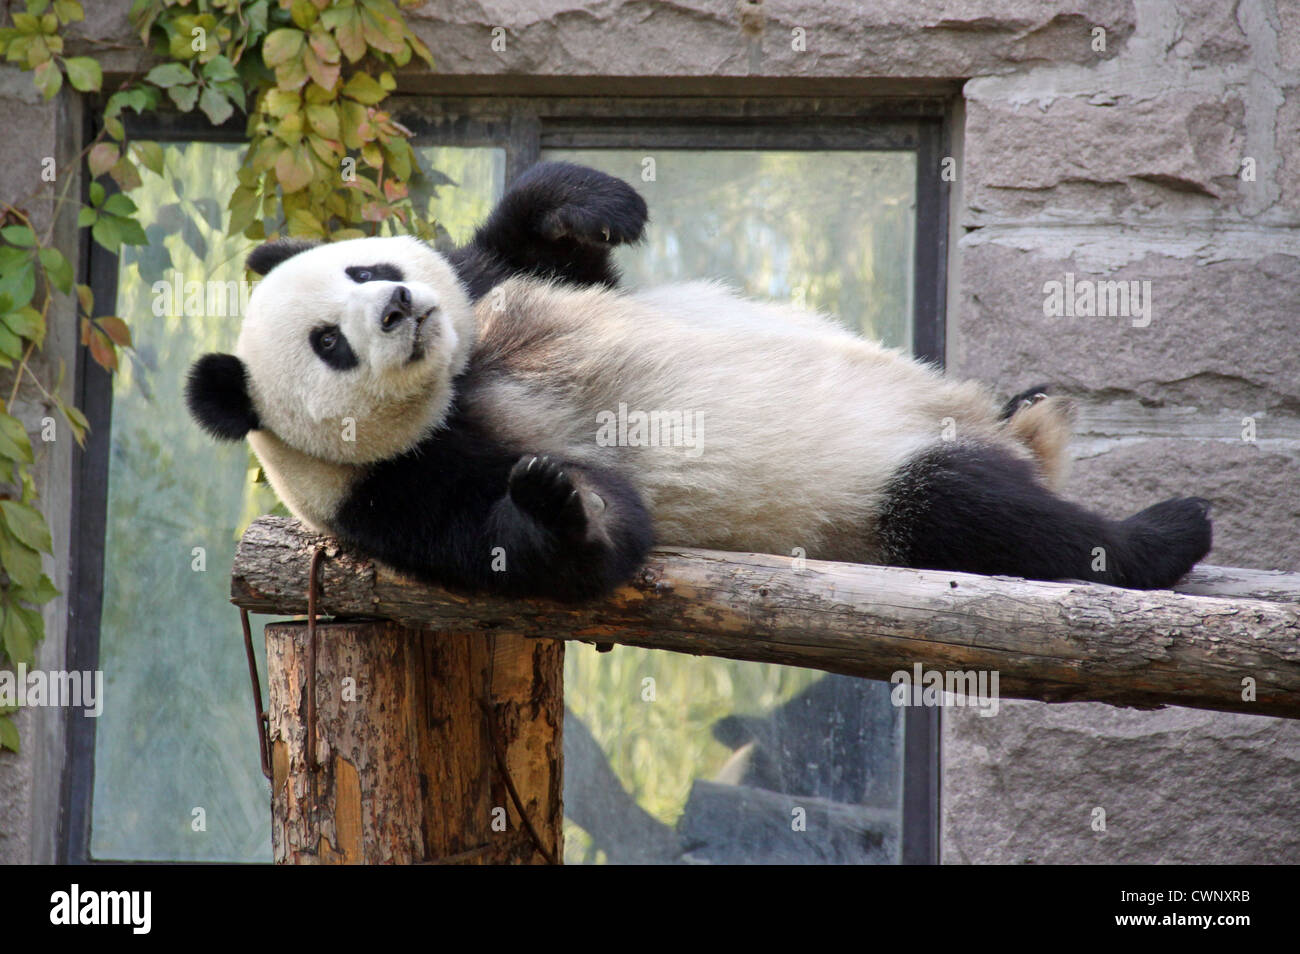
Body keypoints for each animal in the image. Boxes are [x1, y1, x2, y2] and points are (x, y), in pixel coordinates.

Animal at [186, 163, 1213, 601]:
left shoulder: (490, 294)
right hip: (877, 495)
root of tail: (1026, 447)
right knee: (972, 508)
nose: (399, 307)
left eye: (363, 270)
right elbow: (551, 549)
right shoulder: (394, 493)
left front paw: (594, 204)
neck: (459, 381)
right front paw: (562, 504)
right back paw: (1163, 531)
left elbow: (542, 254)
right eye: (329, 344)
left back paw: (1031, 405)